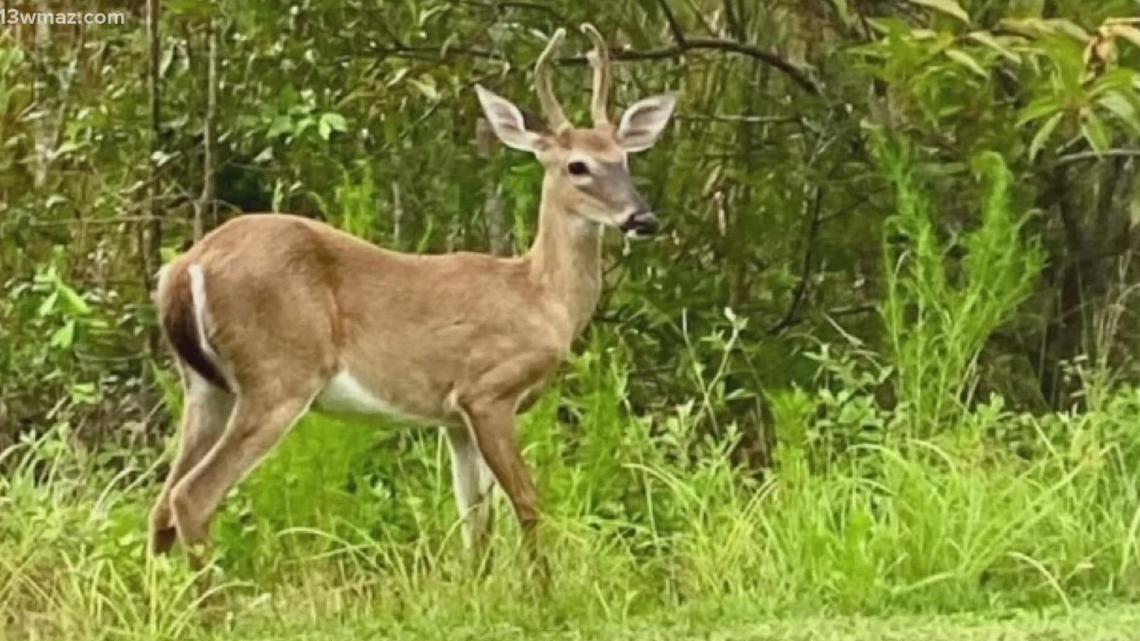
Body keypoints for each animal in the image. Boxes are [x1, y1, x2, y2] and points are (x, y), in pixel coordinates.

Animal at [147, 23, 676, 574]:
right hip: (278, 375)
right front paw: (540, 589)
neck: (539, 297)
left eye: (625, 159)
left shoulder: (453, 418)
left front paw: (479, 584)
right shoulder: (488, 390)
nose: (642, 219)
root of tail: (183, 269)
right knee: (192, 497)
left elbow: (475, 521)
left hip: (207, 387)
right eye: (578, 166)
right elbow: (527, 505)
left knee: (160, 506)